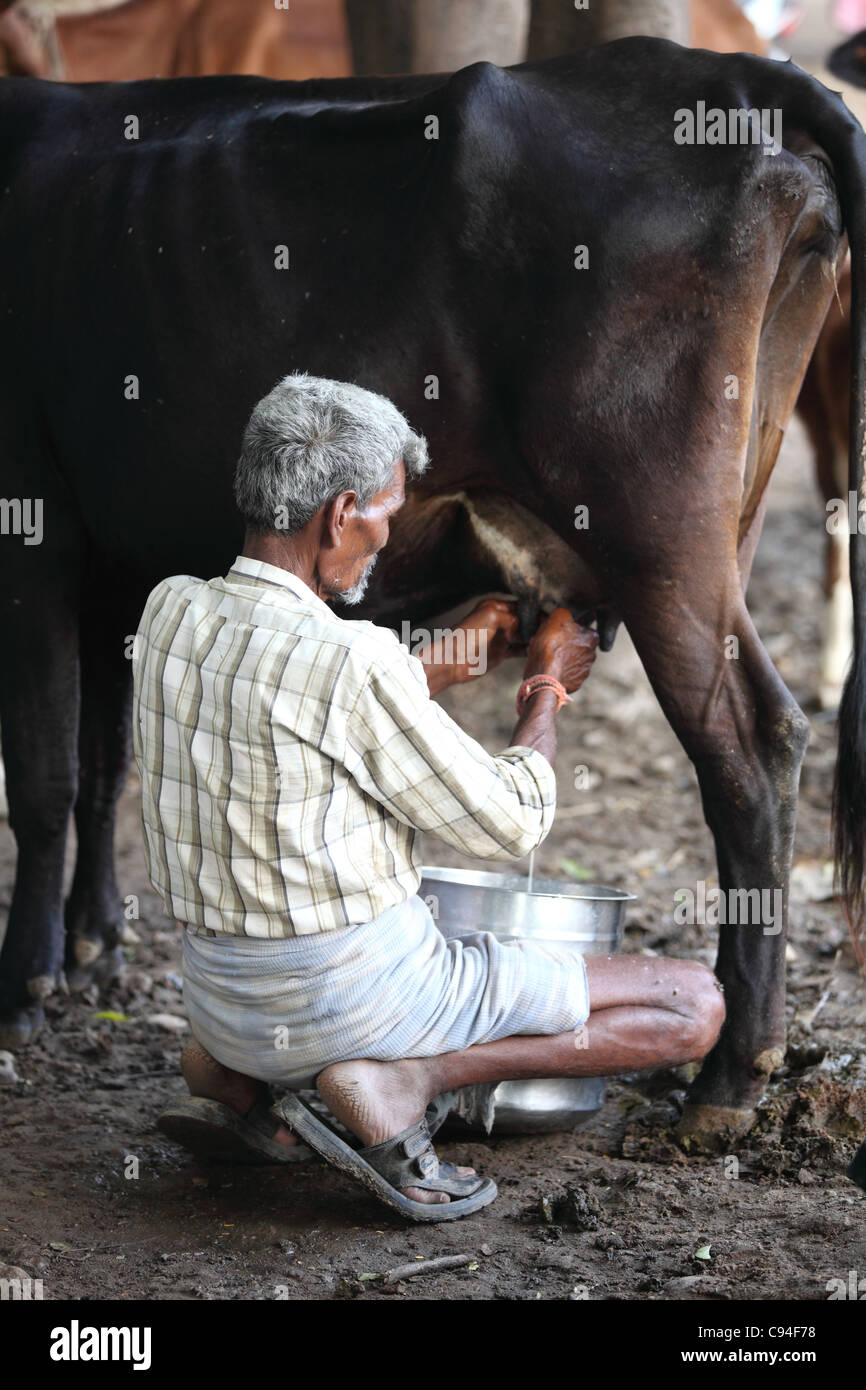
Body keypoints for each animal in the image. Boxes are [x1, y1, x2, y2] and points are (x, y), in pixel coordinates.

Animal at [1, 40, 866, 1153]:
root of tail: (742, 79)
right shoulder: (112, 562)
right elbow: (105, 762)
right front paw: (95, 941)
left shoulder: (31, 525)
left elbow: (45, 774)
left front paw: (26, 983)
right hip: (734, 518)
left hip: (660, 538)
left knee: (753, 745)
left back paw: (727, 1075)